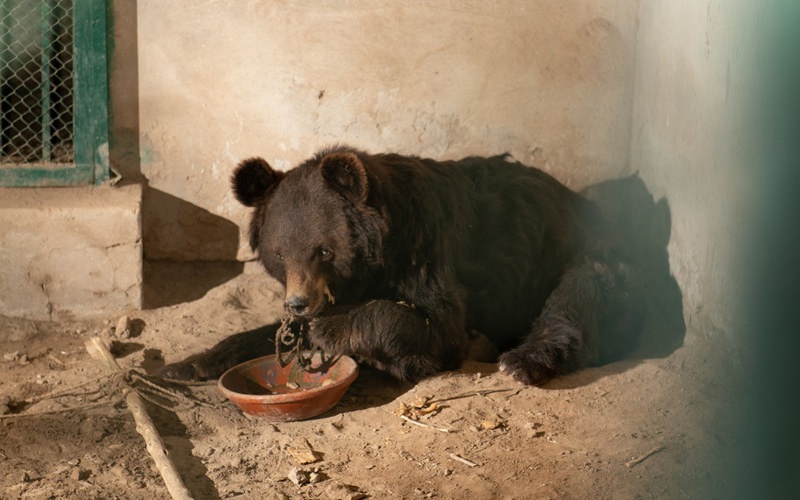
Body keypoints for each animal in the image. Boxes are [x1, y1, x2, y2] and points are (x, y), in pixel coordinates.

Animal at [159, 145, 646, 385]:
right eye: (279, 253)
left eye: (323, 250)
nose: (298, 304)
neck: (376, 257)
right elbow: (264, 333)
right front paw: (185, 365)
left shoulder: (427, 249)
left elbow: (435, 324)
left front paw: (332, 329)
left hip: (582, 255)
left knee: (578, 298)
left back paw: (522, 361)